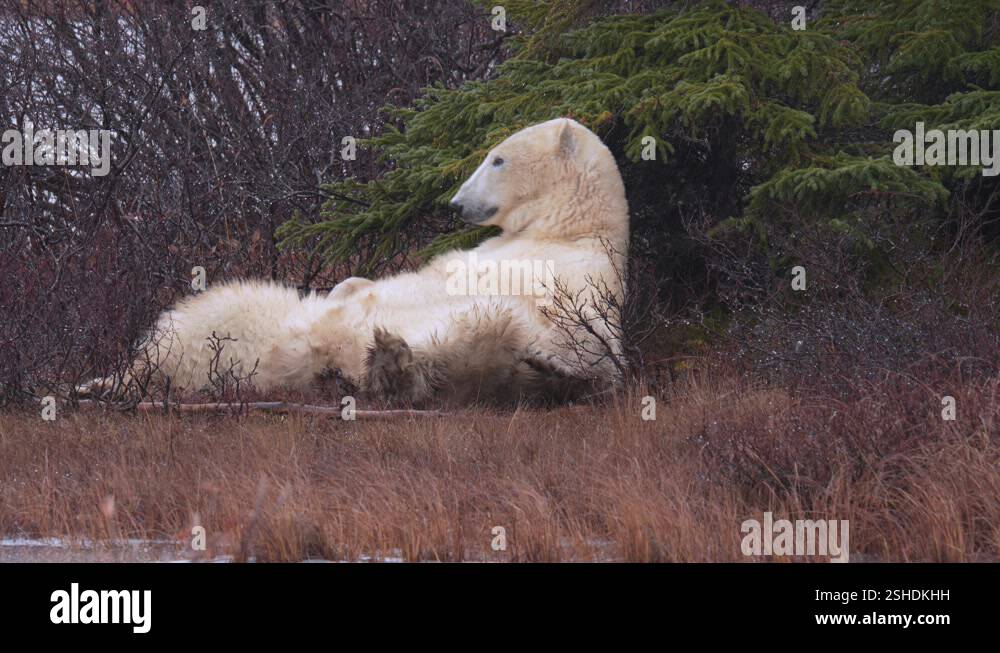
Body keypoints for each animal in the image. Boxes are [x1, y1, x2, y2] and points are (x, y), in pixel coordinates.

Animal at [78, 118, 630, 405]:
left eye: (497, 158)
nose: (455, 204)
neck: (565, 227)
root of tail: (325, 357)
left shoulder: (574, 280)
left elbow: (590, 335)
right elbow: (358, 280)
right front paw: (352, 283)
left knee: (478, 342)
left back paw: (397, 360)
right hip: (272, 329)